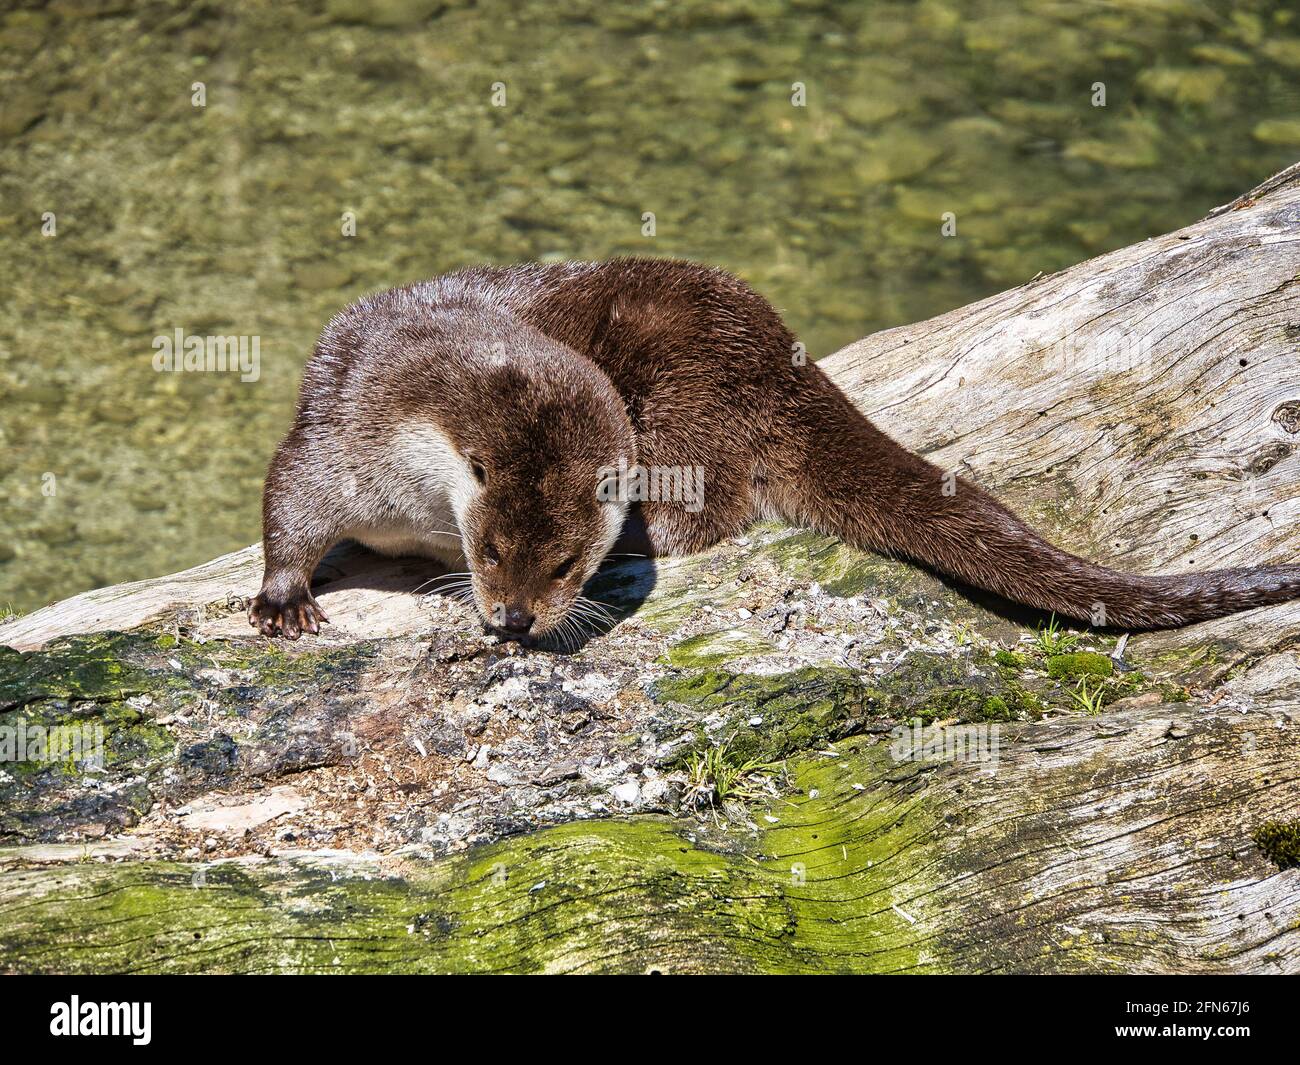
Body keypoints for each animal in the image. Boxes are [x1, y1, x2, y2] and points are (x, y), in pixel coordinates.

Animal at [249, 257, 1300, 640]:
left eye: (562, 561)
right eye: (493, 551)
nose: (511, 620)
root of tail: (783, 358)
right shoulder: (338, 424)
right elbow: (288, 502)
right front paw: (285, 597)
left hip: (686, 393)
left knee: (709, 512)